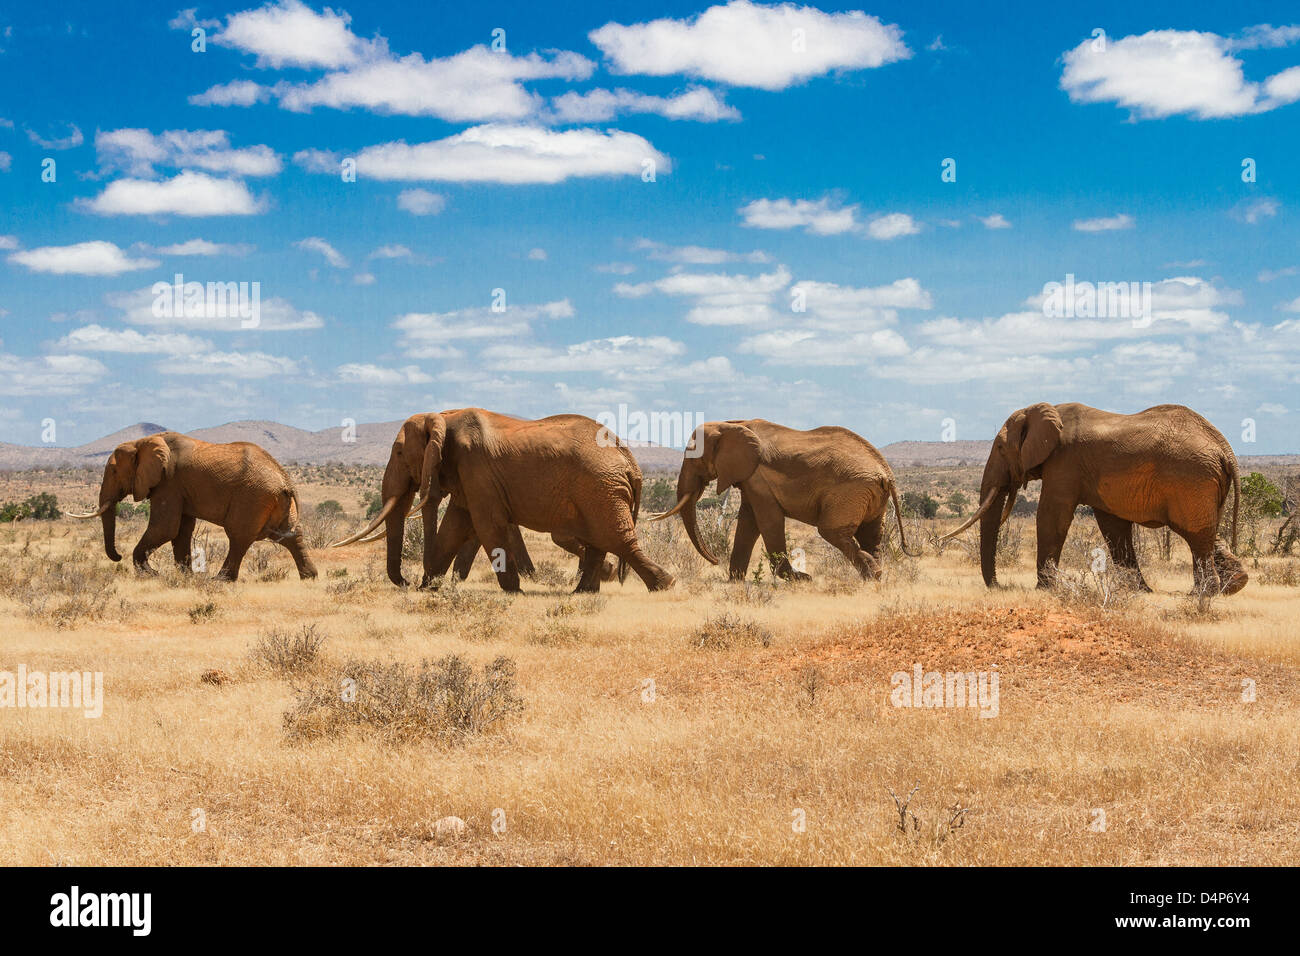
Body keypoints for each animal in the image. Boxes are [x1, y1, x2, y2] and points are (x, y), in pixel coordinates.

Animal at [66, 432, 317, 581]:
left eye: (114, 471)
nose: (117, 556)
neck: (142, 441)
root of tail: (286, 480)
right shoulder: (180, 489)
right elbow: (181, 531)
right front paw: (185, 576)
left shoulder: (169, 483)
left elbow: (165, 528)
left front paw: (152, 574)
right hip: (275, 502)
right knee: (290, 536)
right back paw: (310, 577)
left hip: (252, 498)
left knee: (238, 537)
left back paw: (220, 581)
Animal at [330, 408, 673, 593]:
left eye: (399, 452)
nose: (407, 583)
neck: (443, 416)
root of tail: (628, 456)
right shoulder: (467, 475)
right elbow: (455, 525)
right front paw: (431, 588)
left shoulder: (476, 467)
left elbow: (486, 524)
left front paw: (514, 590)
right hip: (599, 490)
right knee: (600, 540)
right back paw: (582, 593)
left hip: (600, 487)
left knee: (616, 538)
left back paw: (664, 584)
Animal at [652, 419, 914, 580]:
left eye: (694, 458)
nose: (715, 560)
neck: (731, 424)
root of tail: (886, 473)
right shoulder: (751, 479)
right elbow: (748, 521)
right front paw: (735, 581)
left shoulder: (758, 477)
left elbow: (768, 521)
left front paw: (800, 579)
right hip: (868, 494)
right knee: (872, 534)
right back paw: (876, 576)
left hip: (850, 491)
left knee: (831, 531)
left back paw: (873, 574)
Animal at [940, 402, 1246, 595]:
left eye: (1001, 448)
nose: (998, 586)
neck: (1047, 410)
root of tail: (1224, 448)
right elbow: (1113, 526)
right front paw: (1141, 591)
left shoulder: (1065, 462)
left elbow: (1052, 515)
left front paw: (1044, 589)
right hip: (1204, 483)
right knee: (1207, 533)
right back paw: (1232, 586)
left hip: (1191, 479)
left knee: (1196, 535)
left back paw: (1205, 594)